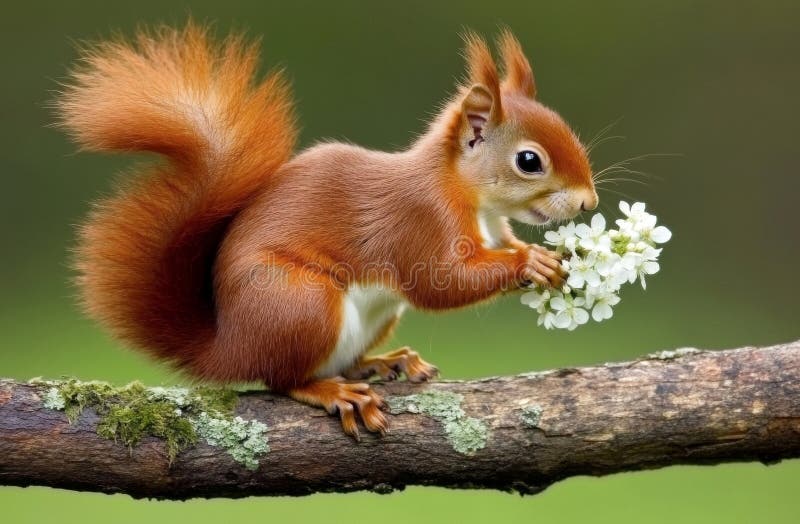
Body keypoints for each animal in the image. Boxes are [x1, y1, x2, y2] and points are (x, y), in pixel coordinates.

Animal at [57, 23, 597, 439]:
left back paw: (382, 363)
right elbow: (439, 284)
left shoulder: (493, 228)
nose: (589, 202)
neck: (471, 198)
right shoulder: (417, 221)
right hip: (301, 303)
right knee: (282, 379)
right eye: (529, 161)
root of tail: (228, 345)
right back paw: (333, 391)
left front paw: (539, 256)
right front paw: (530, 262)